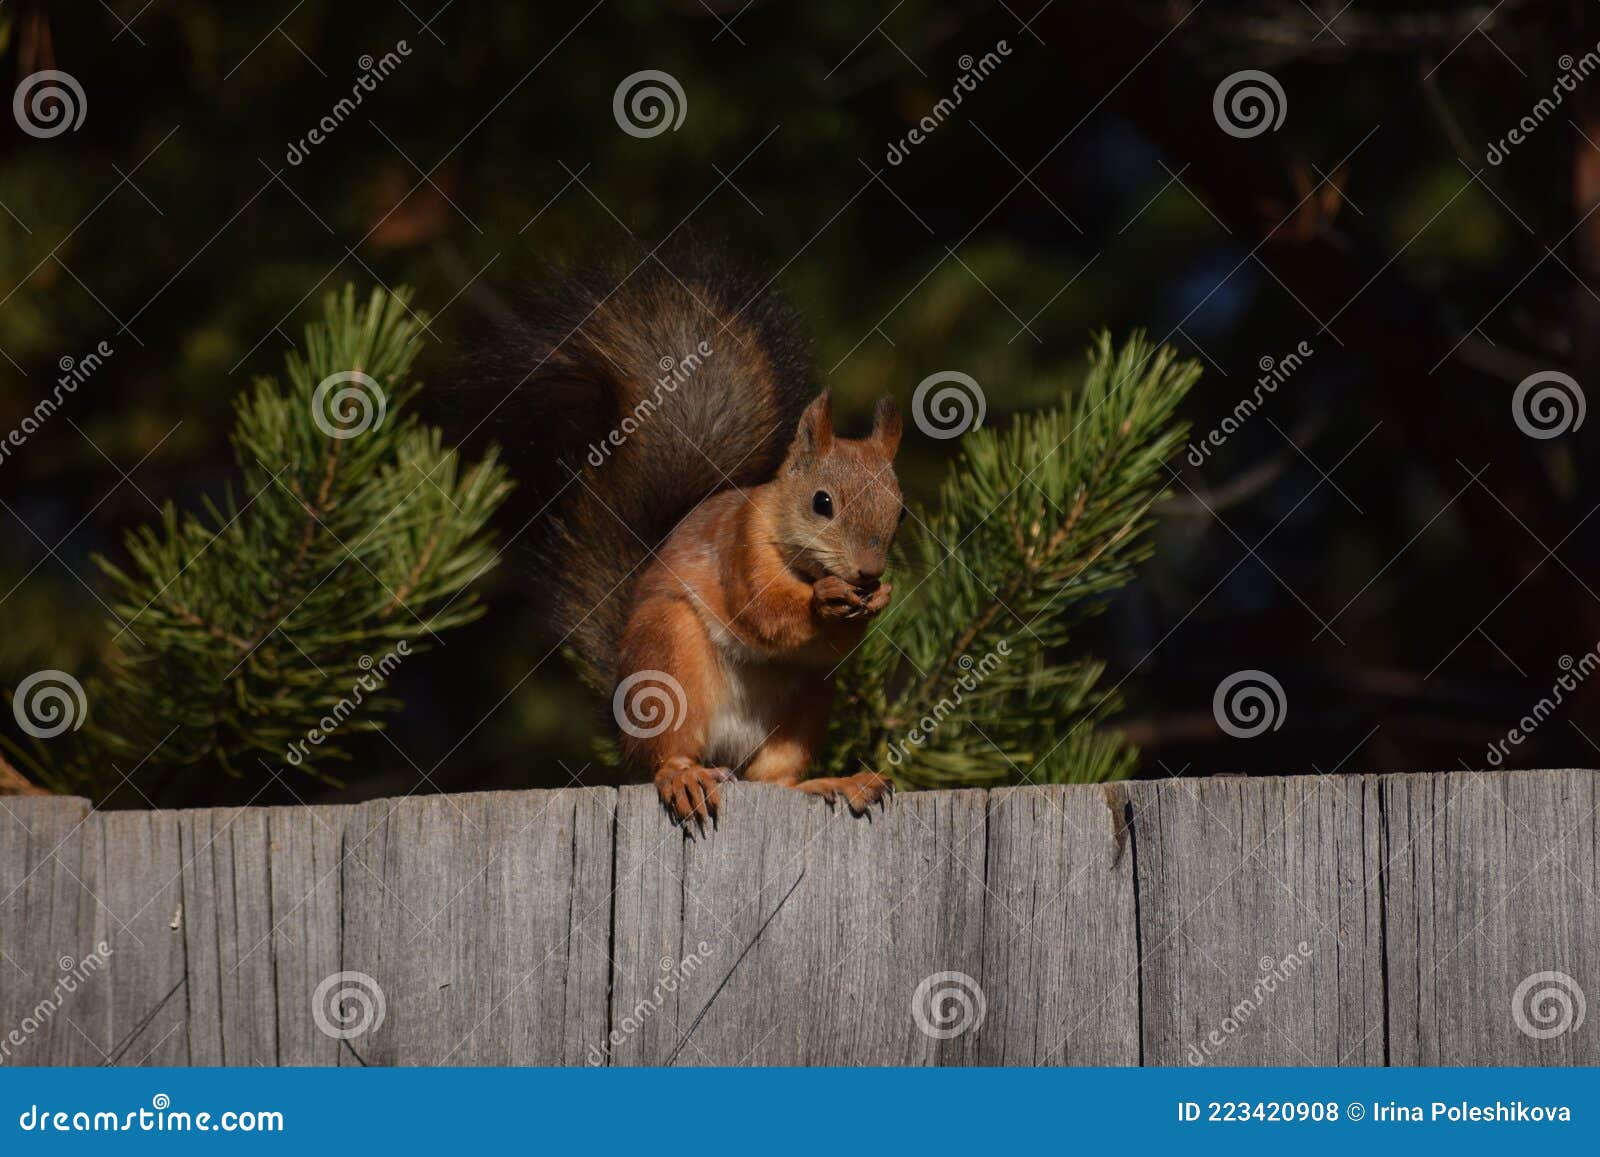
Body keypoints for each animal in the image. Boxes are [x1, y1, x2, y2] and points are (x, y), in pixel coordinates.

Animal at [483, 256, 904, 824]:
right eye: (822, 503)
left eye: (899, 511)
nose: (867, 573)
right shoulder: (739, 548)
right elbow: (763, 611)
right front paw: (824, 598)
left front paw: (877, 599)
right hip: (668, 662)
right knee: (668, 754)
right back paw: (683, 777)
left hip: (807, 705)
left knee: (775, 779)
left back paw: (838, 783)